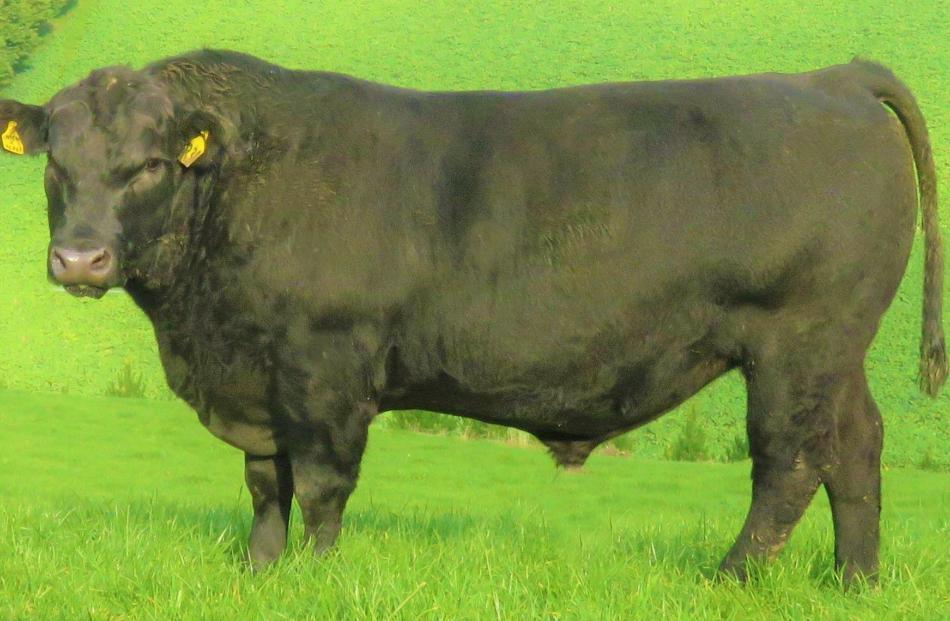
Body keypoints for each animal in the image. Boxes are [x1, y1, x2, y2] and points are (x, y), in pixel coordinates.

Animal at [1, 50, 944, 584]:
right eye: (55, 162)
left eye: (150, 165)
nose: (79, 259)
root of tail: (832, 80)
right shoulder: (255, 378)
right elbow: (265, 484)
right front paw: (259, 574)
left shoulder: (324, 367)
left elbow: (321, 482)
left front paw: (312, 576)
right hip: (839, 350)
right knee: (856, 448)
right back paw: (853, 582)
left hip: (796, 343)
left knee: (790, 461)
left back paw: (731, 580)